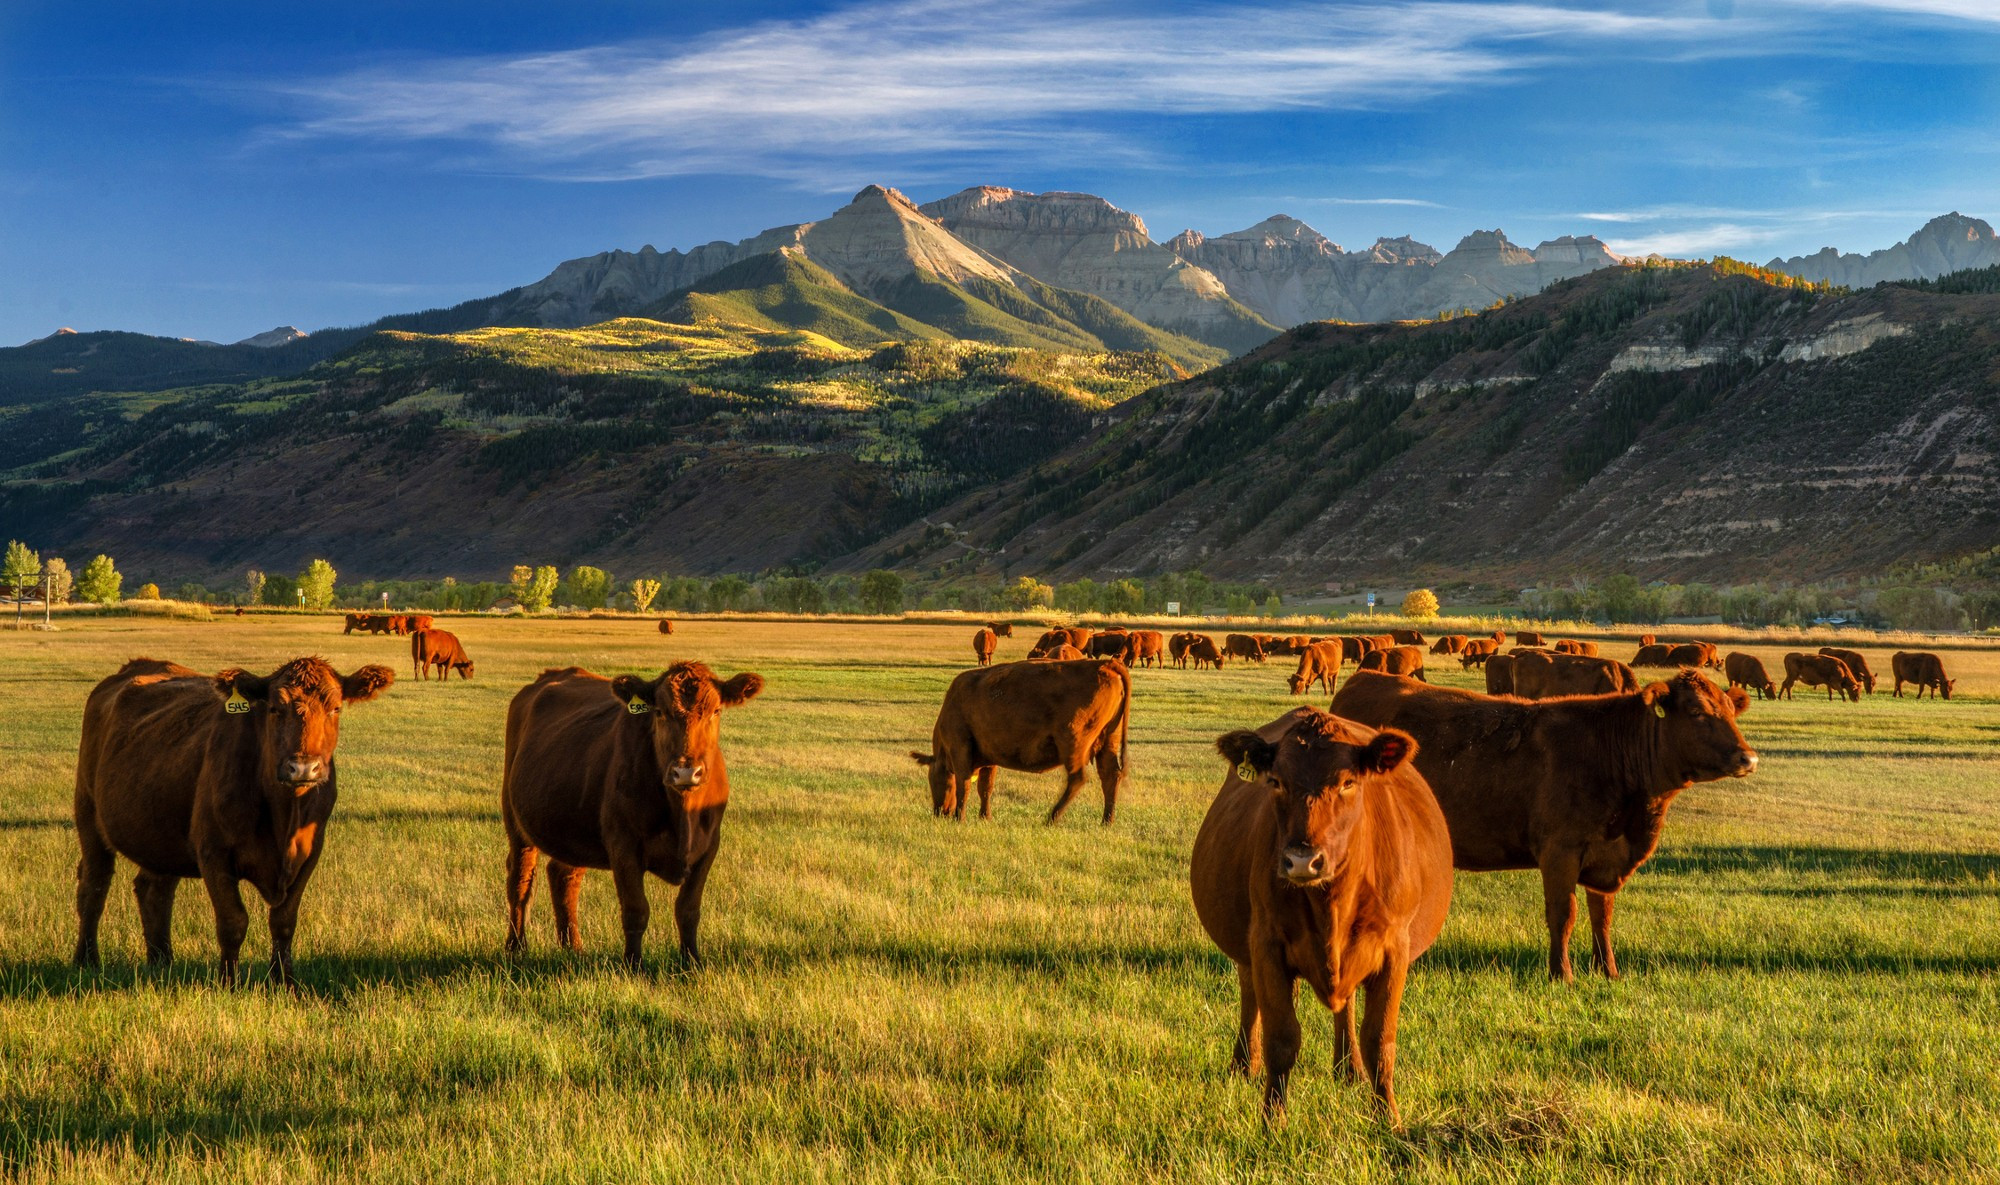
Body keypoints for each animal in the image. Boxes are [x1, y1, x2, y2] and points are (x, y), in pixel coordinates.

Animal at [72, 656, 395, 985]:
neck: (284, 817)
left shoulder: (309, 854)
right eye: (274, 708)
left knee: (154, 890)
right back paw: (86, 959)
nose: (303, 768)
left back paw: (162, 962)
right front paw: (228, 982)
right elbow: (233, 921)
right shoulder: (214, 853)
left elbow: (284, 921)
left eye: (336, 708)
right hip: (88, 813)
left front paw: (283, 981)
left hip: (160, 833)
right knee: (94, 886)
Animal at [502, 662, 763, 967]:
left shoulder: (708, 847)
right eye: (659, 712)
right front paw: (633, 964)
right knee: (520, 882)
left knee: (563, 876)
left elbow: (688, 910)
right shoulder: (623, 846)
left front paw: (691, 962)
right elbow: (635, 909)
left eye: (716, 711)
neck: (682, 813)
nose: (686, 772)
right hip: (516, 823)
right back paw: (516, 946)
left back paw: (573, 948)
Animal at [912, 658, 1131, 826]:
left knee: (1077, 779)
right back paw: (1106, 821)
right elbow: (985, 788)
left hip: (1073, 742)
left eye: (933, 780)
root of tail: (1105, 664)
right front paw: (985, 817)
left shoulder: (960, 749)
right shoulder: (988, 757)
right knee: (1110, 777)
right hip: (1108, 741)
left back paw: (1052, 818)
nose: (939, 812)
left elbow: (963, 785)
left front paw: (960, 818)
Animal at [1190, 708, 1451, 1125]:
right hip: (1247, 948)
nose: (1301, 860)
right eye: (1276, 781)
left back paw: (1349, 1071)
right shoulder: (1266, 943)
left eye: (1347, 782)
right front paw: (1273, 1120)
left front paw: (1387, 1118)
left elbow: (1379, 1040)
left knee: (1346, 1008)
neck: (1332, 904)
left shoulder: (1395, 949)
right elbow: (1282, 1038)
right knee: (1250, 997)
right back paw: (1244, 1065)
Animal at [1331, 670, 1755, 982]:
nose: (1747, 757)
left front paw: (1608, 971)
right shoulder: (1560, 851)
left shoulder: (1604, 854)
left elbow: (1602, 916)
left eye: (1730, 710)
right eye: (1697, 711)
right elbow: (1563, 914)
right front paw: (1562, 975)